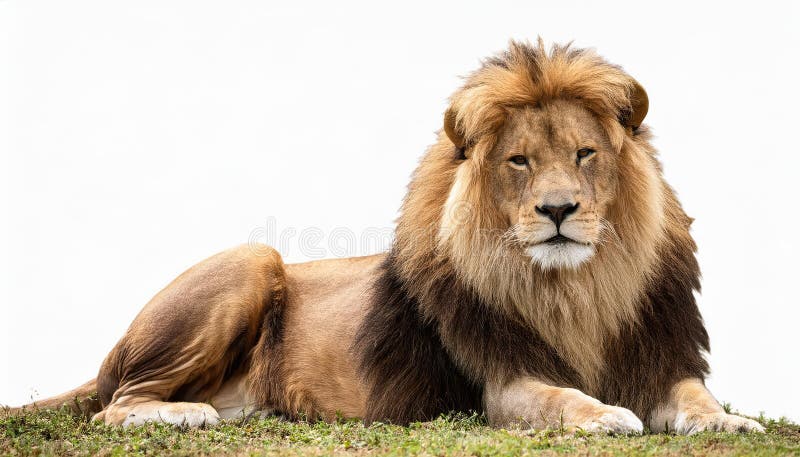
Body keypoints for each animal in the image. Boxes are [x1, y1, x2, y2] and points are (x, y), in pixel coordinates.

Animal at [6, 40, 764, 435]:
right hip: (250, 260)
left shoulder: (662, 358)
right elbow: (560, 398)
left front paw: (731, 423)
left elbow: (695, 398)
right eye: (518, 161)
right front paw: (607, 416)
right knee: (114, 405)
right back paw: (186, 414)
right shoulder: (499, 383)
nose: (558, 210)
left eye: (585, 154)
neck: (578, 287)